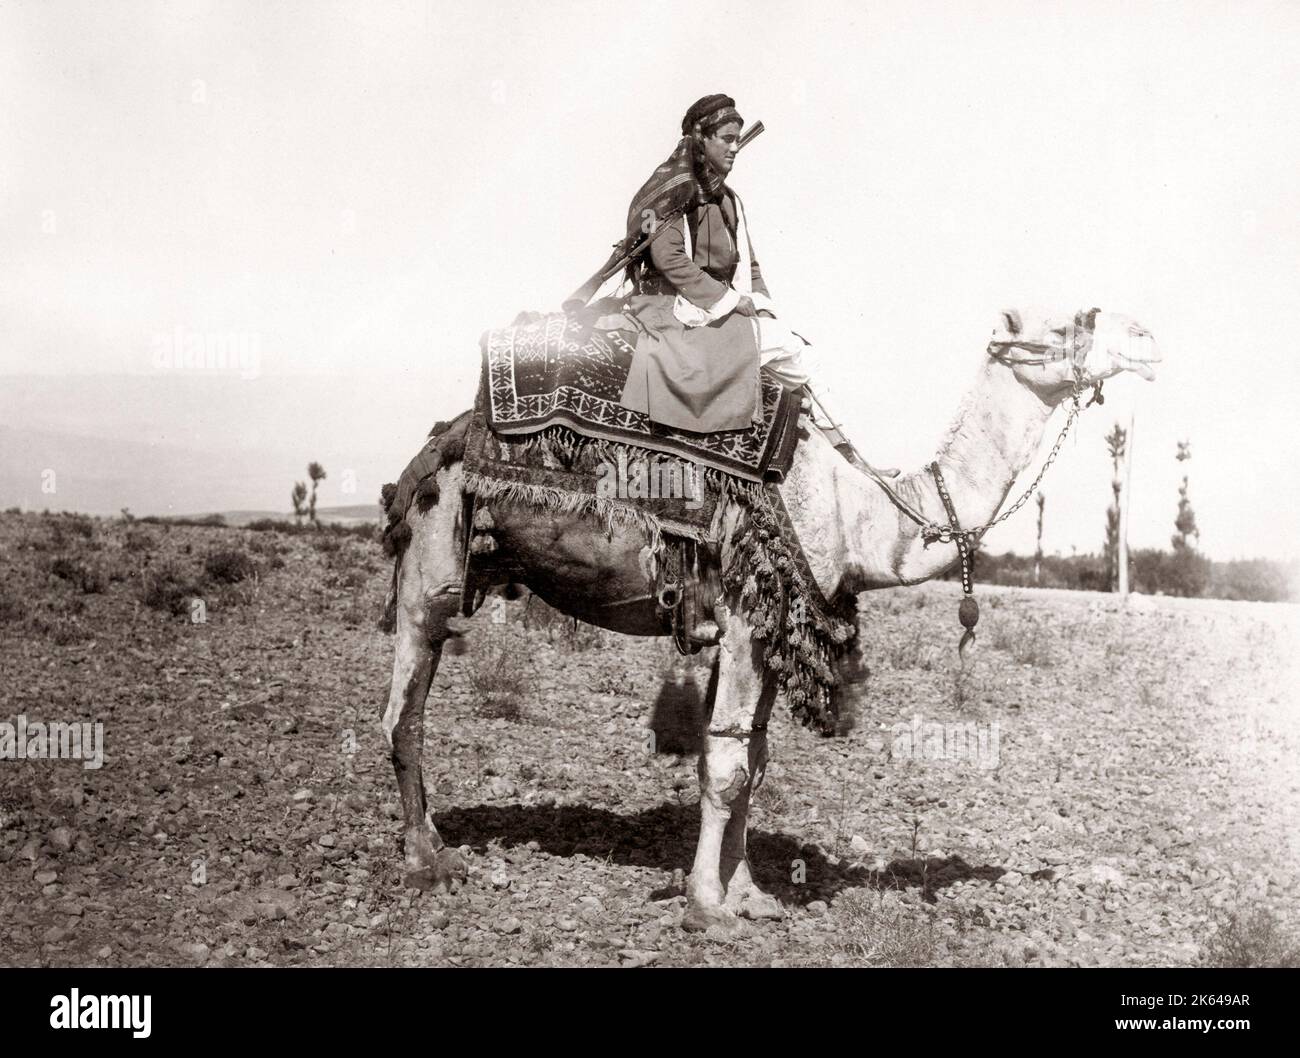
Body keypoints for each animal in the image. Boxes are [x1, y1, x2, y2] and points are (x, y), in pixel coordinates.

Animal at [379, 306, 1159, 933]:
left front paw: (750, 895)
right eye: (1071, 323)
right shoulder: (746, 623)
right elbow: (725, 765)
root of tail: (435, 445)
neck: (858, 509)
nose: (1149, 338)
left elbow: (750, 762)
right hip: (432, 568)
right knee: (403, 712)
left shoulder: (771, 620)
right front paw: (706, 906)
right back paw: (426, 863)